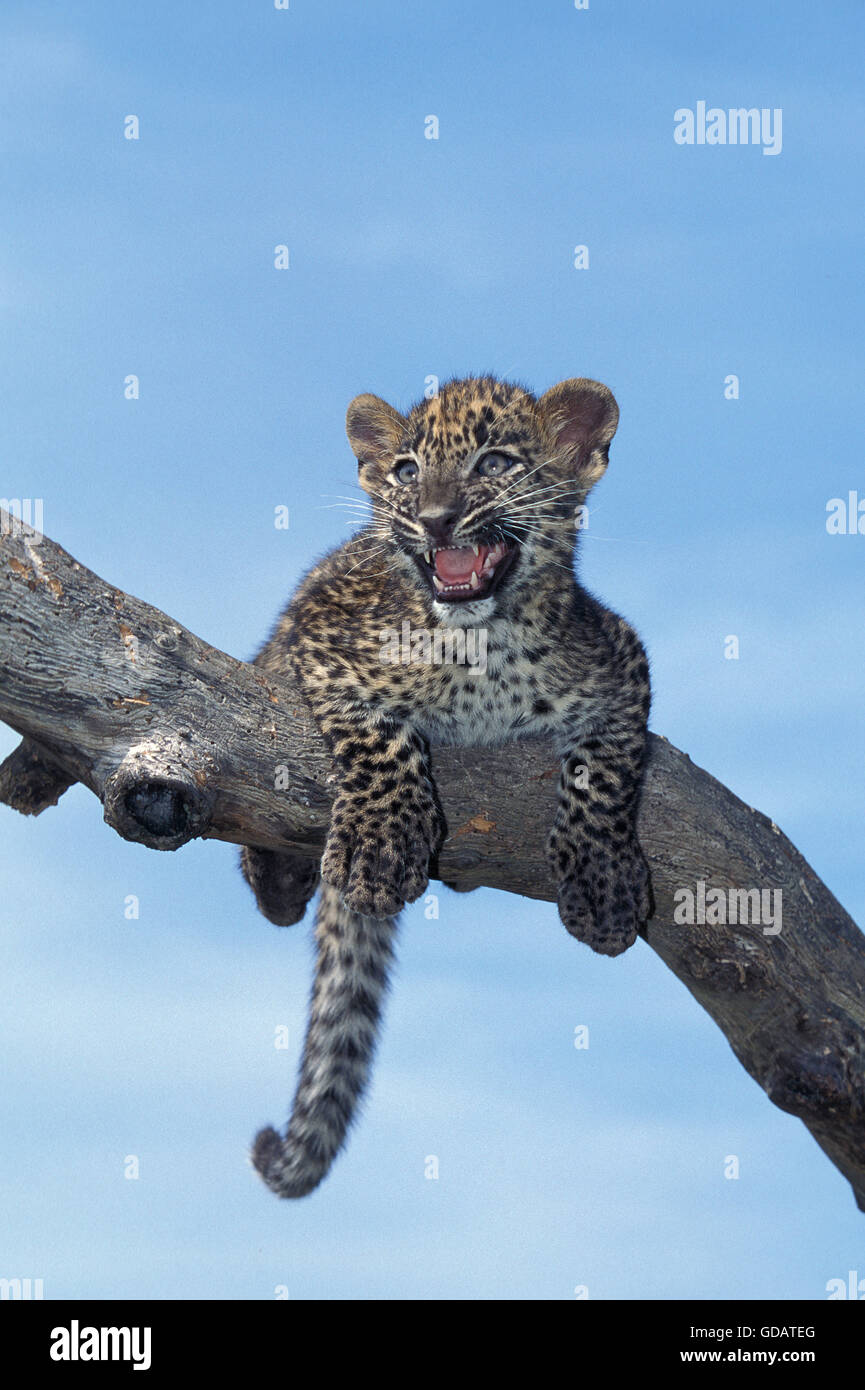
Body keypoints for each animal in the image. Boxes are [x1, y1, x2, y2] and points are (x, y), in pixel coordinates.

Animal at [241, 374, 653, 1199]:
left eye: (493, 463)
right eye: (405, 471)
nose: (433, 518)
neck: (480, 647)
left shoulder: (622, 663)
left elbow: (604, 771)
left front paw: (602, 883)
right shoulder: (319, 630)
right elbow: (379, 738)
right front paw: (380, 841)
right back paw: (277, 877)